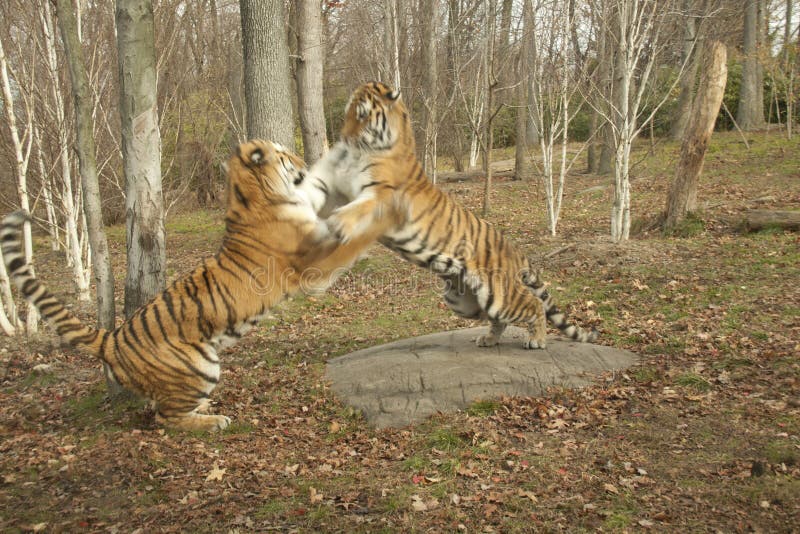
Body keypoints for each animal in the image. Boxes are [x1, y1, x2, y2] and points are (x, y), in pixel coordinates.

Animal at [1, 140, 395, 431]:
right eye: (285, 156)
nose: (303, 160)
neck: (250, 193)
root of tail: (111, 338)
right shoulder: (313, 266)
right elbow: (353, 242)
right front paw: (384, 211)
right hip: (200, 363)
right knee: (166, 417)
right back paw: (214, 420)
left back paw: (207, 408)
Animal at [299, 81, 598, 350]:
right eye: (348, 113)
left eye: (361, 115)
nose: (344, 138)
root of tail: (515, 250)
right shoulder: (335, 186)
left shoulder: (383, 198)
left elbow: (357, 211)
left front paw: (336, 224)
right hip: (465, 302)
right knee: (497, 318)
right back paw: (489, 340)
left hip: (501, 295)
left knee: (533, 304)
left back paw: (536, 340)